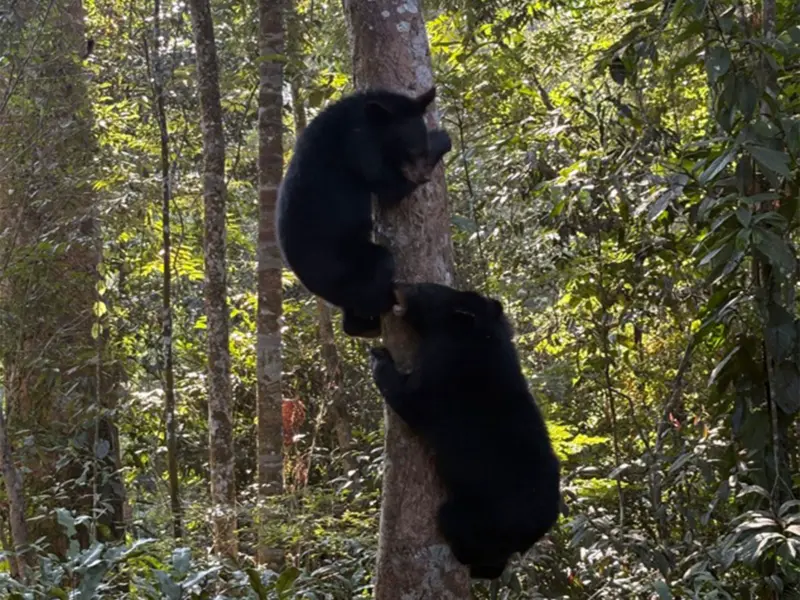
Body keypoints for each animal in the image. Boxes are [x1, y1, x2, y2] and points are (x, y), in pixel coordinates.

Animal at [276, 87, 452, 338]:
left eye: (421, 149)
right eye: (410, 151)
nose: (423, 177)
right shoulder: (360, 148)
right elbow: (390, 188)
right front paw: (442, 138)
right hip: (346, 264)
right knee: (380, 266)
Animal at [369, 283, 561, 579]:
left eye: (424, 291)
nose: (398, 286)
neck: (481, 336)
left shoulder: (444, 369)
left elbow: (411, 399)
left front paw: (380, 359)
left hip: (484, 515)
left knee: (457, 525)